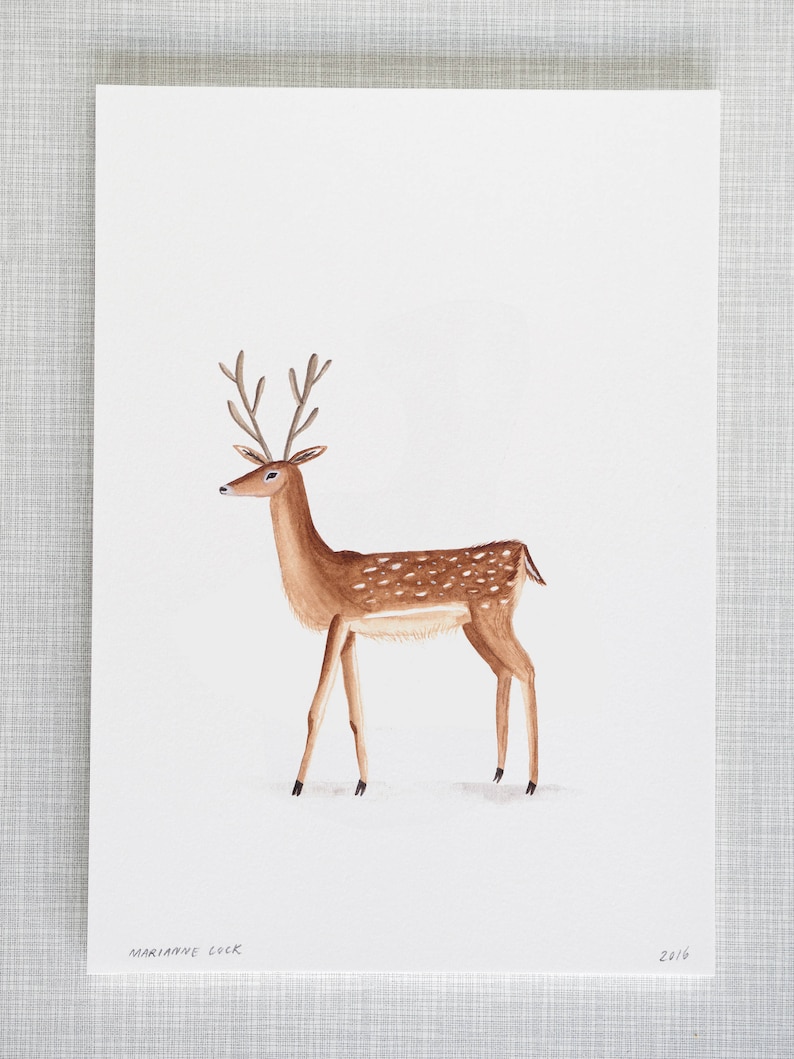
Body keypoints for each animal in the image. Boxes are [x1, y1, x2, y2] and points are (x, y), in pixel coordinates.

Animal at [218, 352, 545, 797]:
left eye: (272, 473)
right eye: (258, 465)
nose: (224, 487)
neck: (321, 569)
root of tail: (522, 551)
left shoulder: (337, 619)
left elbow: (316, 707)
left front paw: (298, 785)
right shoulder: (352, 629)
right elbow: (355, 711)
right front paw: (361, 783)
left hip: (493, 611)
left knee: (527, 667)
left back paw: (530, 782)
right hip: (474, 623)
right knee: (504, 671)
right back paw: (497, 772)